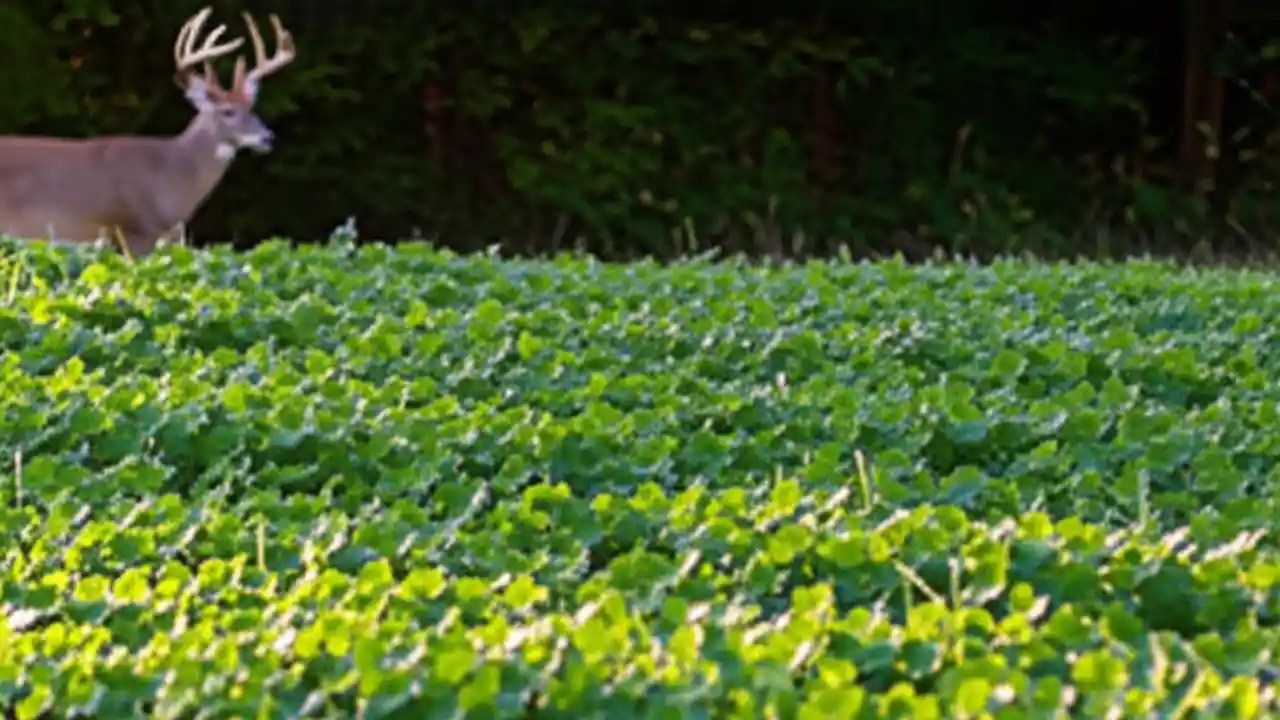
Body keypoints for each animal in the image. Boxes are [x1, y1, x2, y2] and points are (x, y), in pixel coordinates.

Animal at [0, 6, 296, 259]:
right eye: (227, 112)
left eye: (252, 108)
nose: (268, 137)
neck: (170, 174)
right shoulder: (136, 230)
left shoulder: (171, 236)